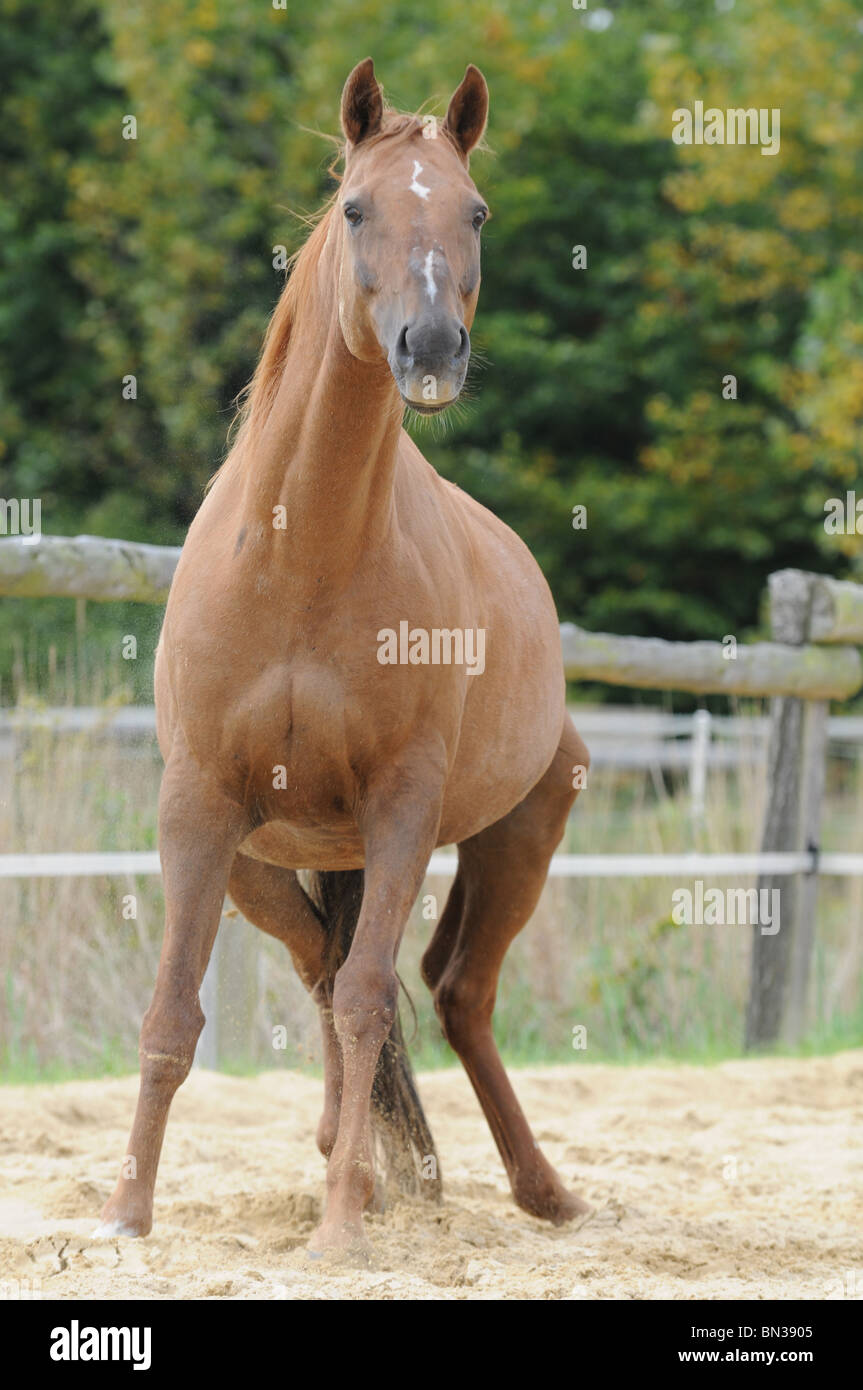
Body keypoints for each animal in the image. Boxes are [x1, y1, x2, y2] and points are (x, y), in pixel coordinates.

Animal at [96, 57, 590, 1259]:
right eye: (358, 208)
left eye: (474, 212)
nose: (430, 350)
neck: (300, 553)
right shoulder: (199, 807)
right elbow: (174, 1010)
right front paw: (126, 1215)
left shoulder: (401, 805)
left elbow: (371, 995)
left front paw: (336, 1235)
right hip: (259, 864)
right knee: (322, 965)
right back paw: (354, 1162)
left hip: (519, 834)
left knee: (452, 992)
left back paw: (534, 1190)